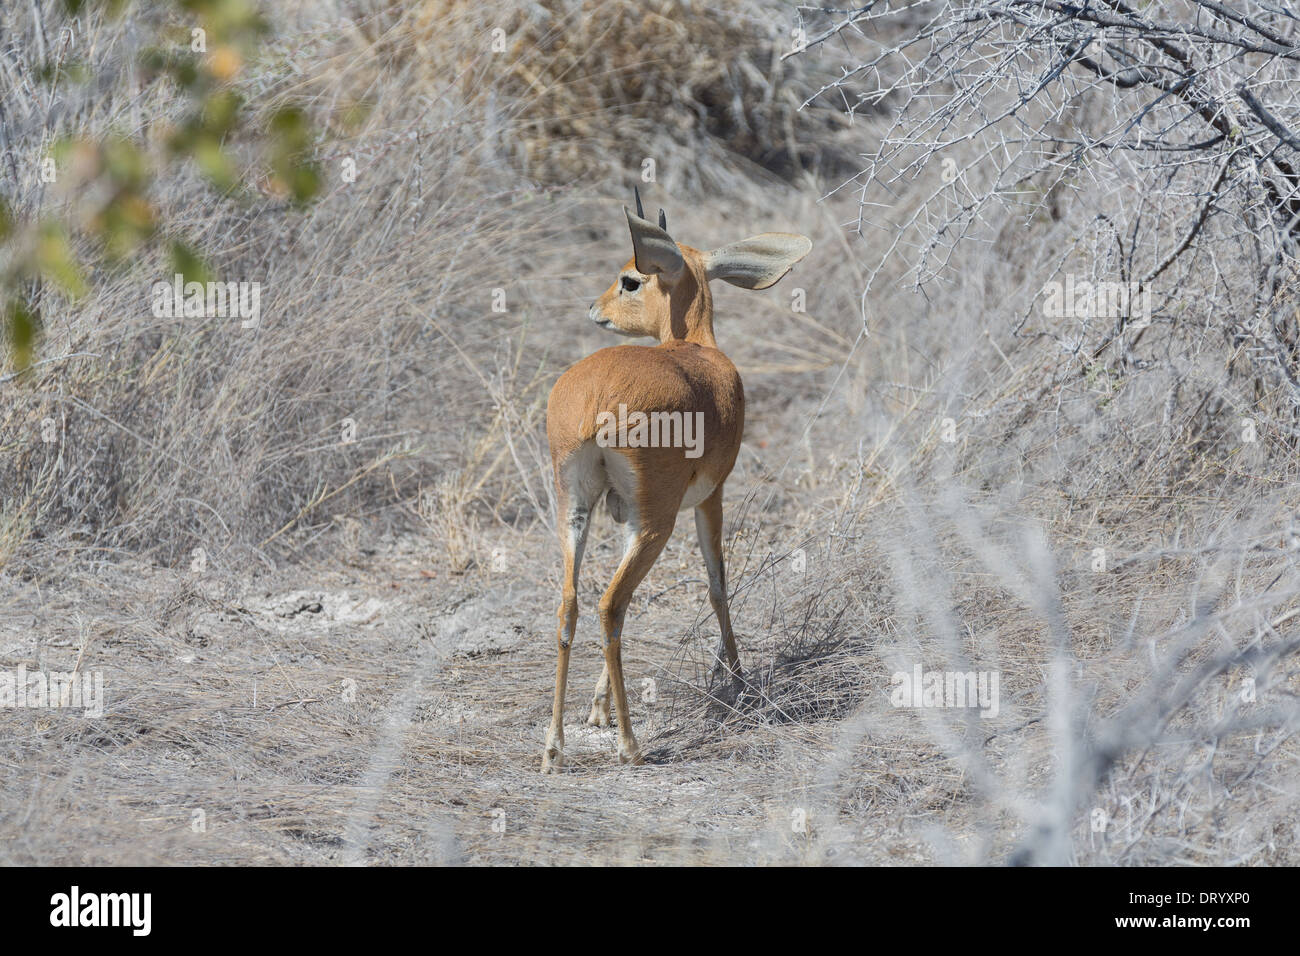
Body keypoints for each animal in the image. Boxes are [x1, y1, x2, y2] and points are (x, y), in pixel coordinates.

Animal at [542, 189, 811, 771]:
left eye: (629, 279)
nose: (594, 310)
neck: (698, 352)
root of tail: (595, 401)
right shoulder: (712, 498)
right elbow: (717, 585)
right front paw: (738, 682)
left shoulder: (621, 513)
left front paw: (596, 708)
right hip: (656, 523)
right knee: (611, 605)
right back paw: (630, 746)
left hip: (577, 509)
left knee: (573, 603)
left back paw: (553, 748)